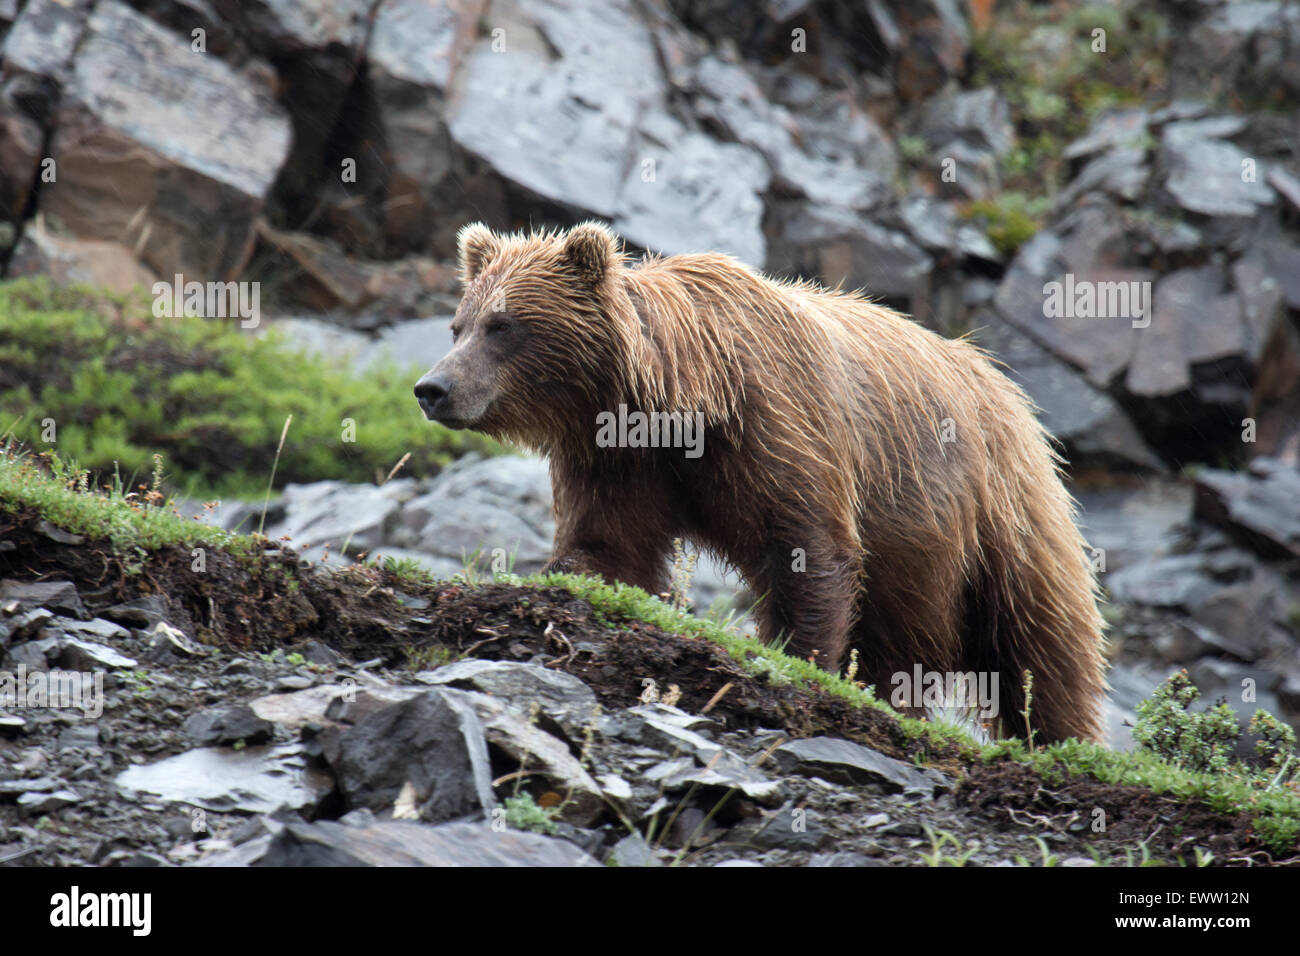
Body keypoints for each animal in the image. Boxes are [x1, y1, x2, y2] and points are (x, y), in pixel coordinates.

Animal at [415, 220, 1108, 744]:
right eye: (458, 324)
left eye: (503, 325)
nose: (433, 388)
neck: (677, 409)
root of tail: (1006, 390)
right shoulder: (617, 461)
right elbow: (607, 546)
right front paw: (567, 583)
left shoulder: (777, 425)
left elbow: (809, 549)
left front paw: (799, 661)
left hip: (994, 507)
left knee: (1040, 639)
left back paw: (1058, 736)